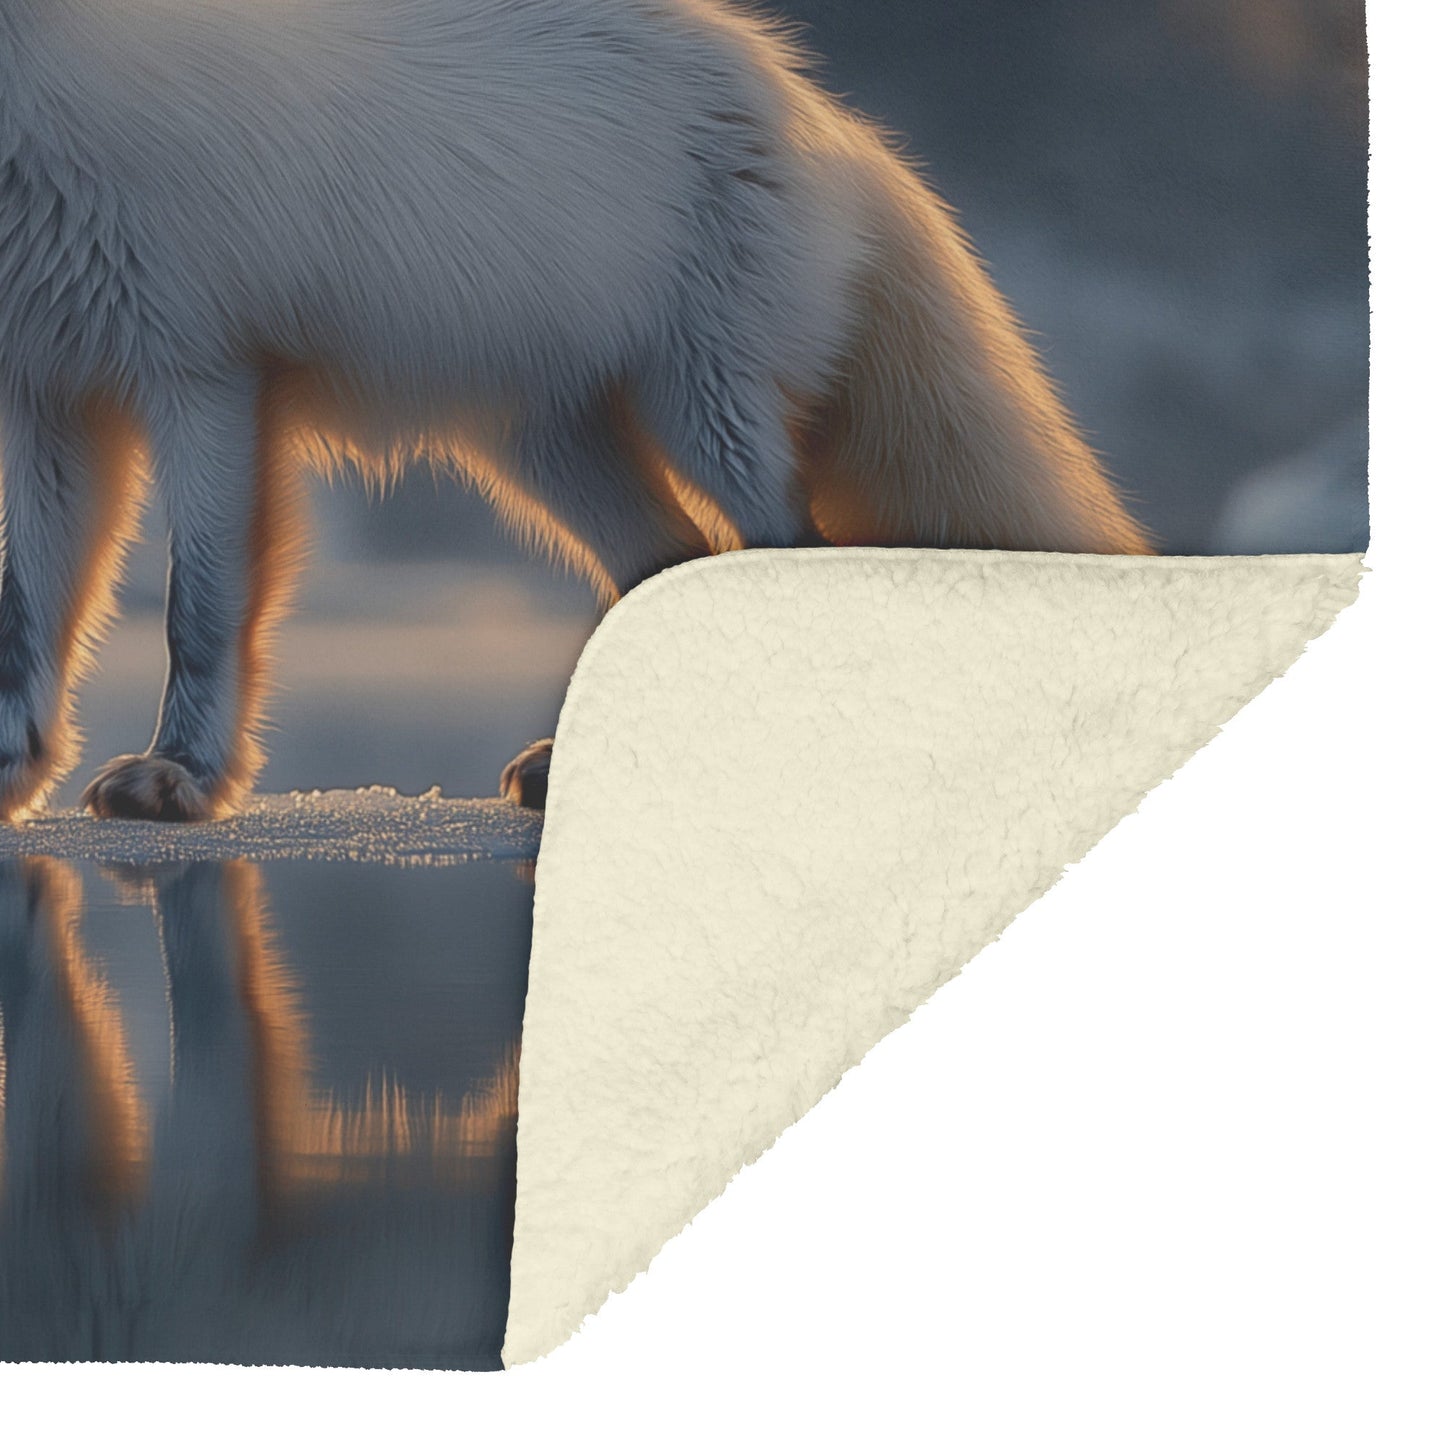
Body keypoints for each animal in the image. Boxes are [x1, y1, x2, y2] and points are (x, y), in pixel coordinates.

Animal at [0, 0, 1150, 824]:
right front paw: (18, 771)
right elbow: (31, 611)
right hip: (542, 452)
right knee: (668, 562)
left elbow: (197, 609)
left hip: (704, 413)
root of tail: (808, 97)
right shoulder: (50, 396)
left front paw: (182, 779)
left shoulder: (208, 373)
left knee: (777, 549)